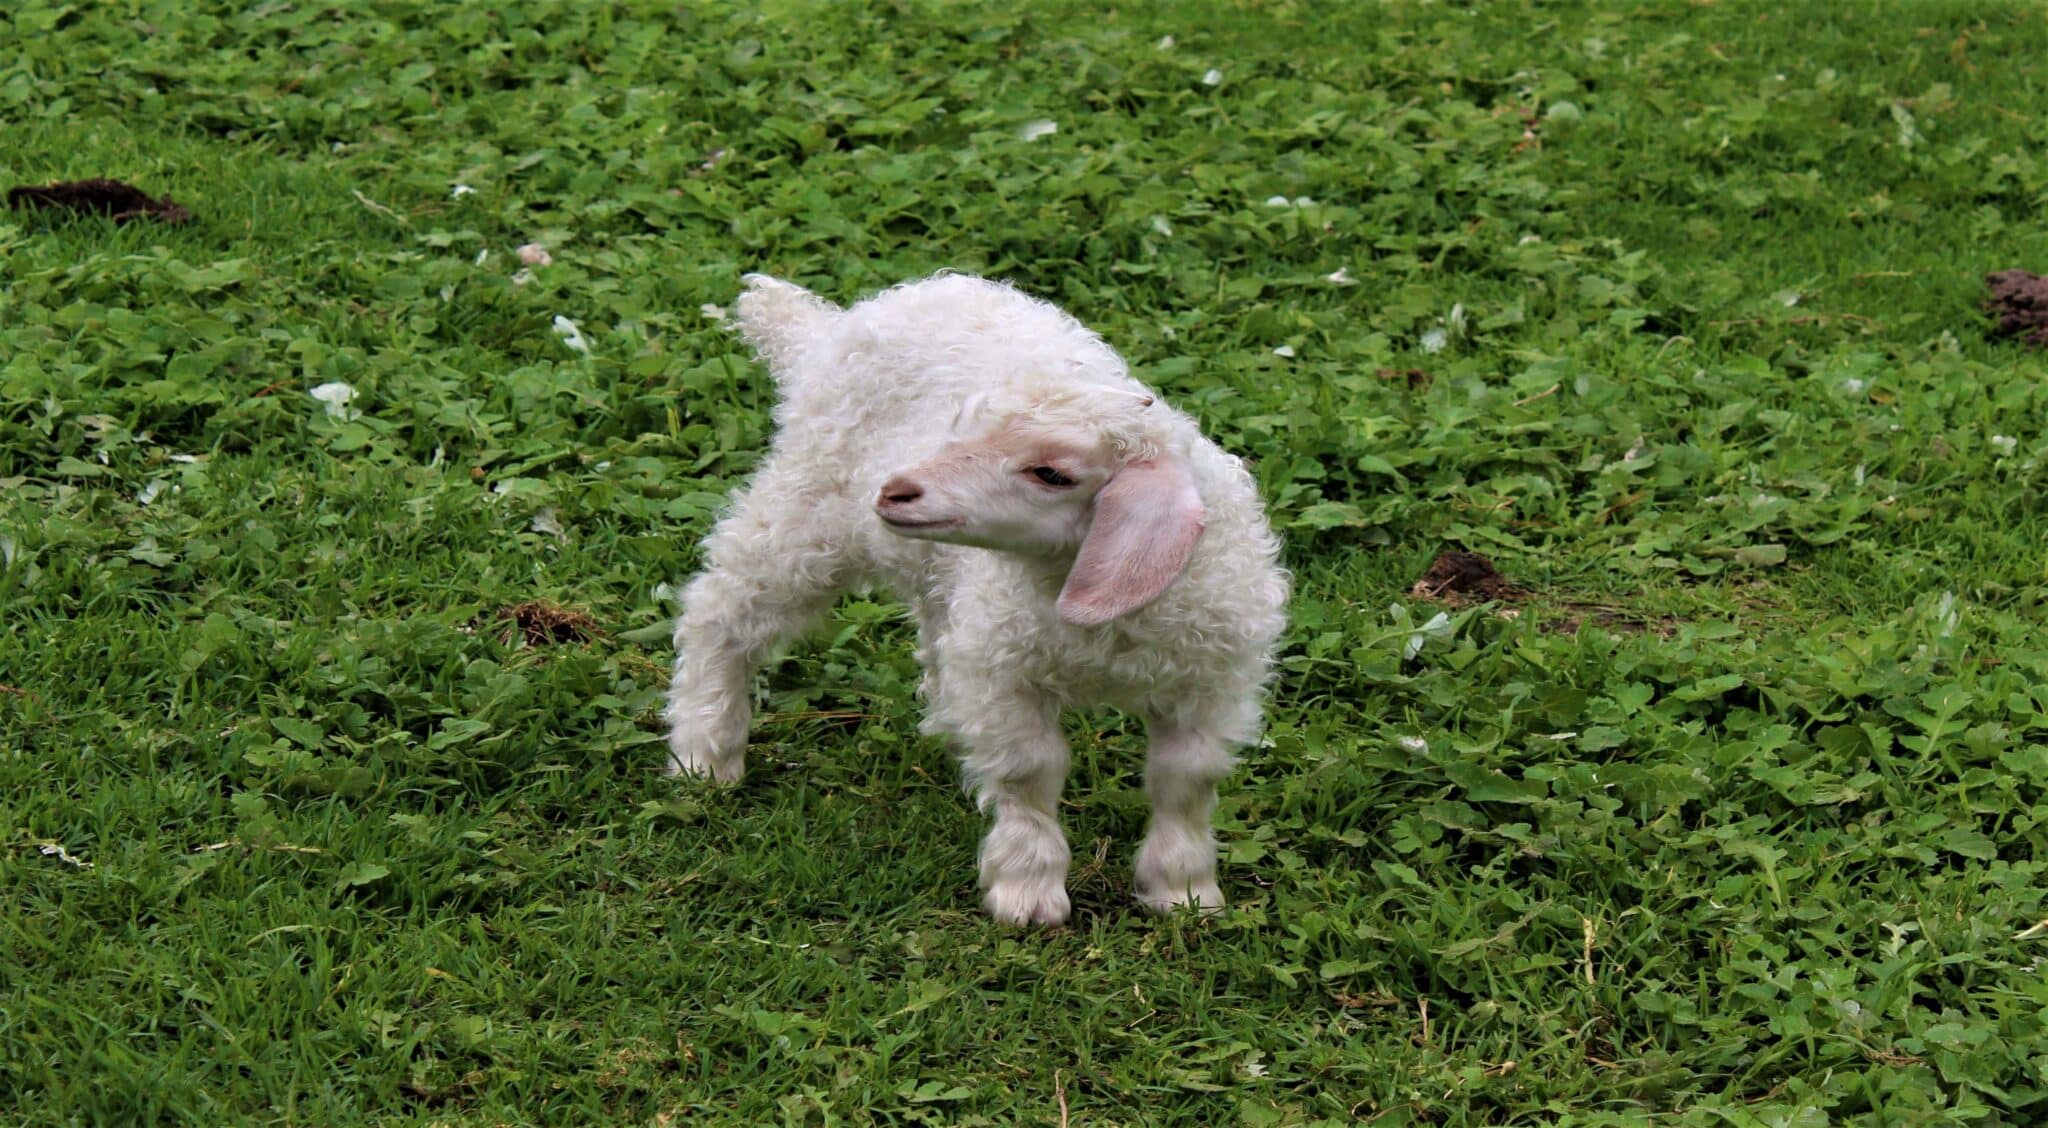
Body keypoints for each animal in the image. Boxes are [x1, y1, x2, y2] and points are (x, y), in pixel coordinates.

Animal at [664, 272, 1289, 926]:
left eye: (1052, 474)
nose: (896, 491)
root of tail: (826, 331)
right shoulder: (1005, 672)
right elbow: (1030, 771)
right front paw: (1028, 890)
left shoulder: (1209, 686)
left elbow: (1185, 782)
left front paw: (1183, 892)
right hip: (805, 508)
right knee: (721, 610)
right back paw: (705, 751)